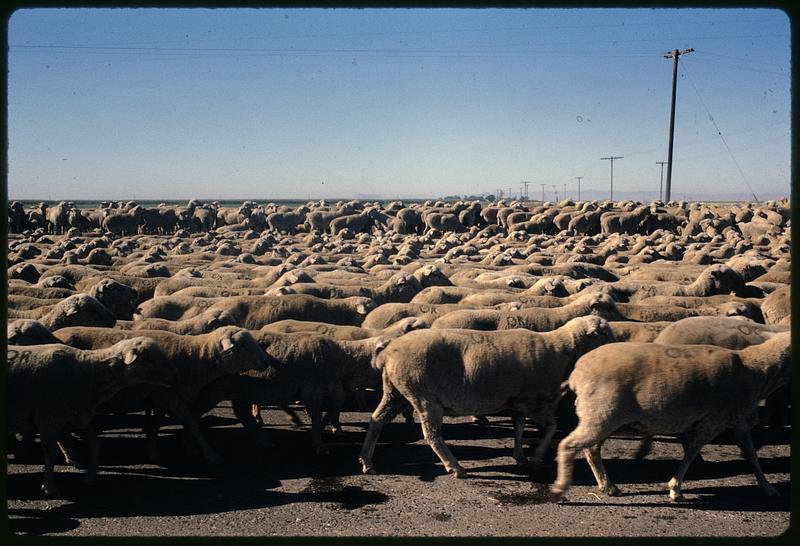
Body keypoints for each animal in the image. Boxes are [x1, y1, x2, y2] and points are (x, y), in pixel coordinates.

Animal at [7, 338, 177, 497]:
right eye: (149, 359)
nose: (174, 376)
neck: (89, 371)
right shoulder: (49, 418)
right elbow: (50, 454)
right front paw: (50, 487)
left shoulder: (77, 416)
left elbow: (96, 445)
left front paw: (89, 477)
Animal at [358, 315, 615, 477]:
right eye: (604, 334)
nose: (616, 350)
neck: (560, 349)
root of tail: (388, 352)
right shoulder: (534, 400)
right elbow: (551, 428)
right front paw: (537, 457)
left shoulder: (519, 402)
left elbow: (519, 429)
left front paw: (520, 456)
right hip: (424, 397)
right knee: (431, 435)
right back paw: (455, 467)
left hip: (395, 391)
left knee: (377, 420)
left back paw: (367, 461)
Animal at [551, 333, 791, 501]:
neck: (754, 370)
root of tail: (577, 373)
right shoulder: (711, 421)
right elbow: (692, 452)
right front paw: (675, 488)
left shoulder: (736, 424)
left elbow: (752, 456)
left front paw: (768, 488)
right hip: (601, 415)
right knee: (570, 445)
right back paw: (561, 487)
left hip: (603, 417)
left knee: (592, 449)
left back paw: (607, 486)